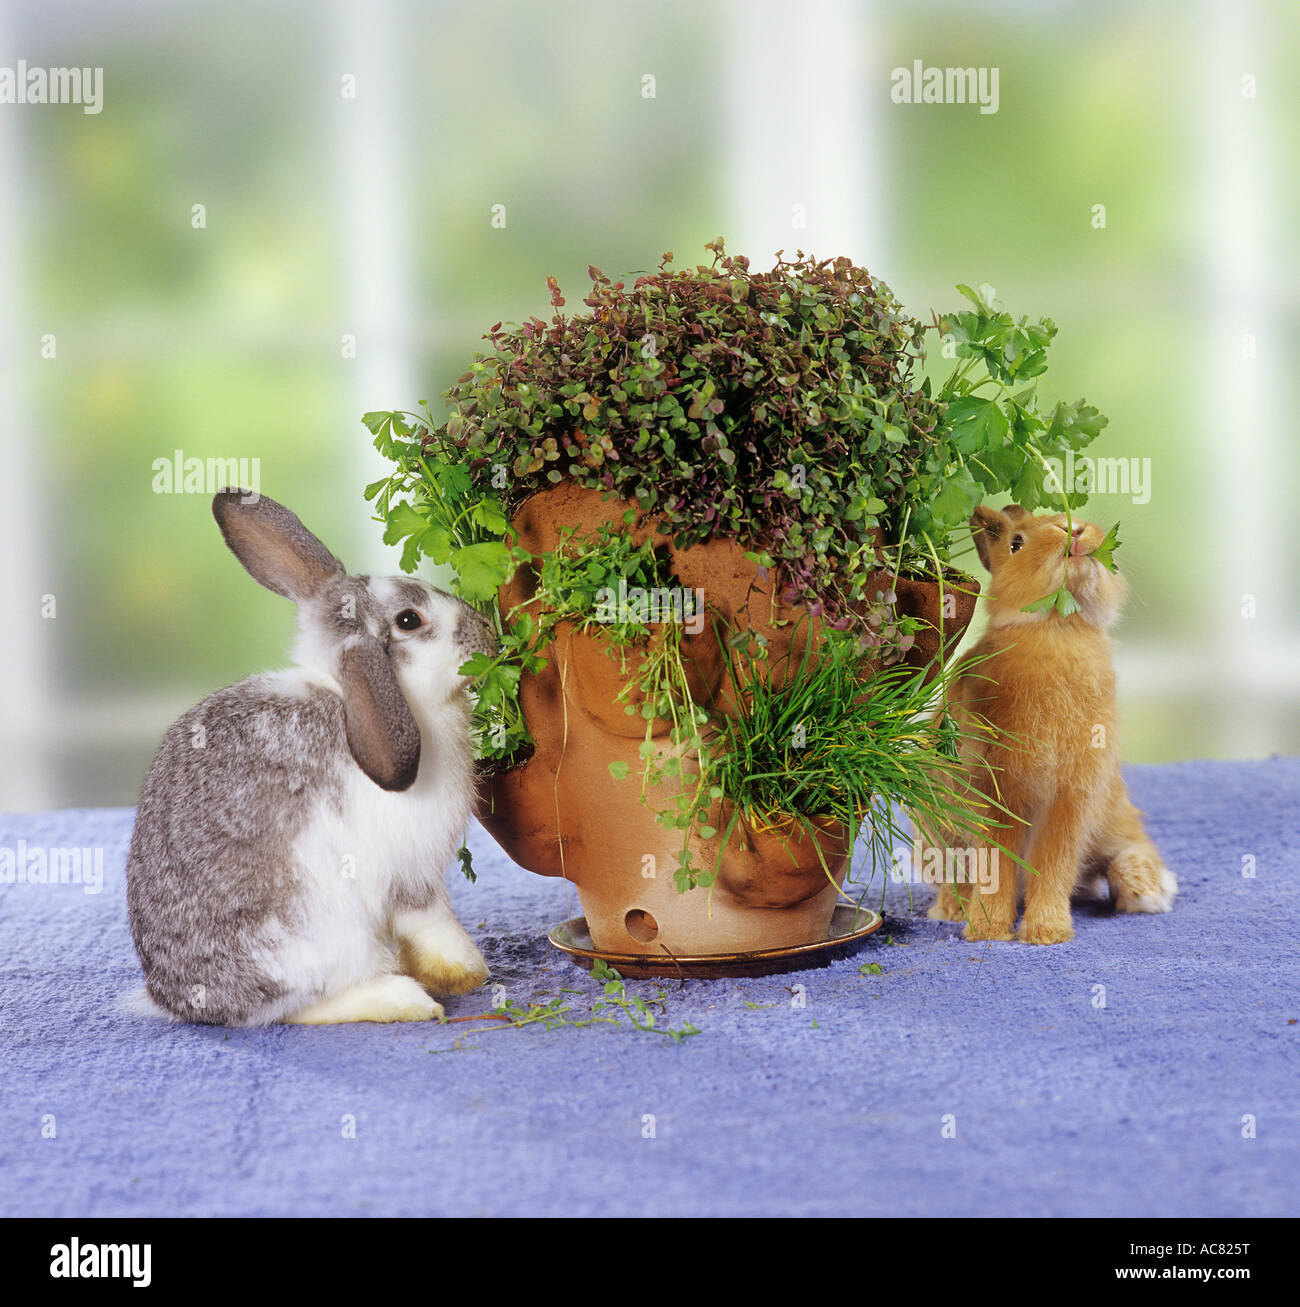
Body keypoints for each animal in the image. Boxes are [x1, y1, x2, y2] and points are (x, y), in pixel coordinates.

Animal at [126, 490, 499, 1024]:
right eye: (409, 619)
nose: (488, 630)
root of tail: (180, 999)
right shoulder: (412, 872)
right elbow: (432, 921)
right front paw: (465, 973)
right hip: (325, 930)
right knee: (307, 1003)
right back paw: (404, 999)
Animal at [921, 504, 1176, 944]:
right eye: (1015, 543)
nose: (1074, 528)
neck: (1057, 626)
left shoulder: (1073, 796)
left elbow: (1054, 862)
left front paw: (1047, 932)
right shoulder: (996, 792)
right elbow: (996, 863)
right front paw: (988, 931)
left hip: (1112, 812)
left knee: (1127, 848)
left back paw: (1147, 891)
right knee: (952, 874)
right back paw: (953, 911)